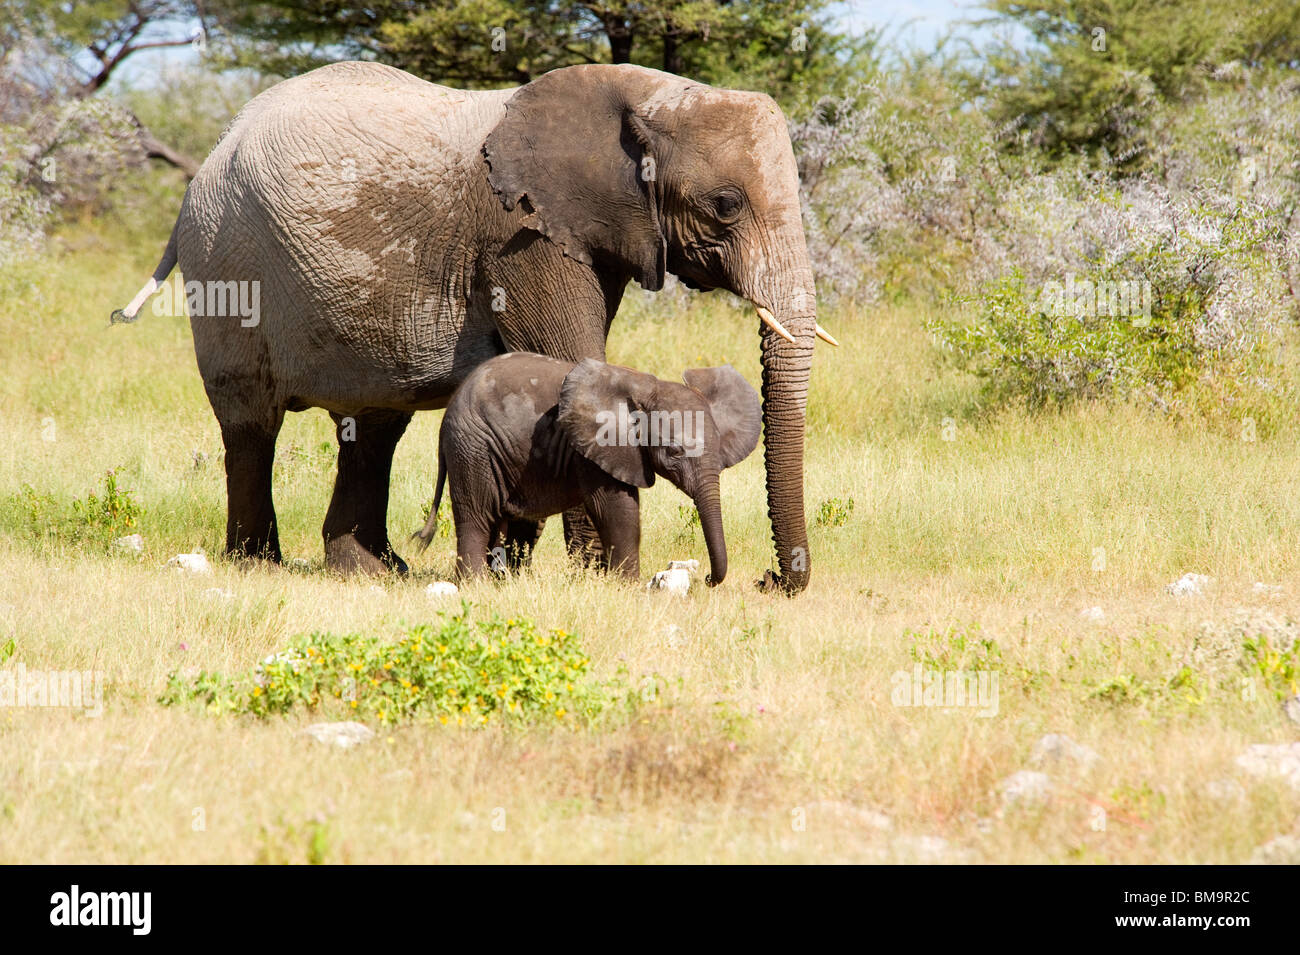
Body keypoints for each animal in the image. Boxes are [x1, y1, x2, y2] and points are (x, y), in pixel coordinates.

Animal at [411, 352, 761, 583]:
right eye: (673, 451)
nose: (707, 579)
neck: (648, 387)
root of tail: (449, 410)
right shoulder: (597, 448)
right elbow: (617, 508)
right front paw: (628, 588)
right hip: (473, 446)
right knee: (477, 516)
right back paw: (476, 586)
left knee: (495, 518)